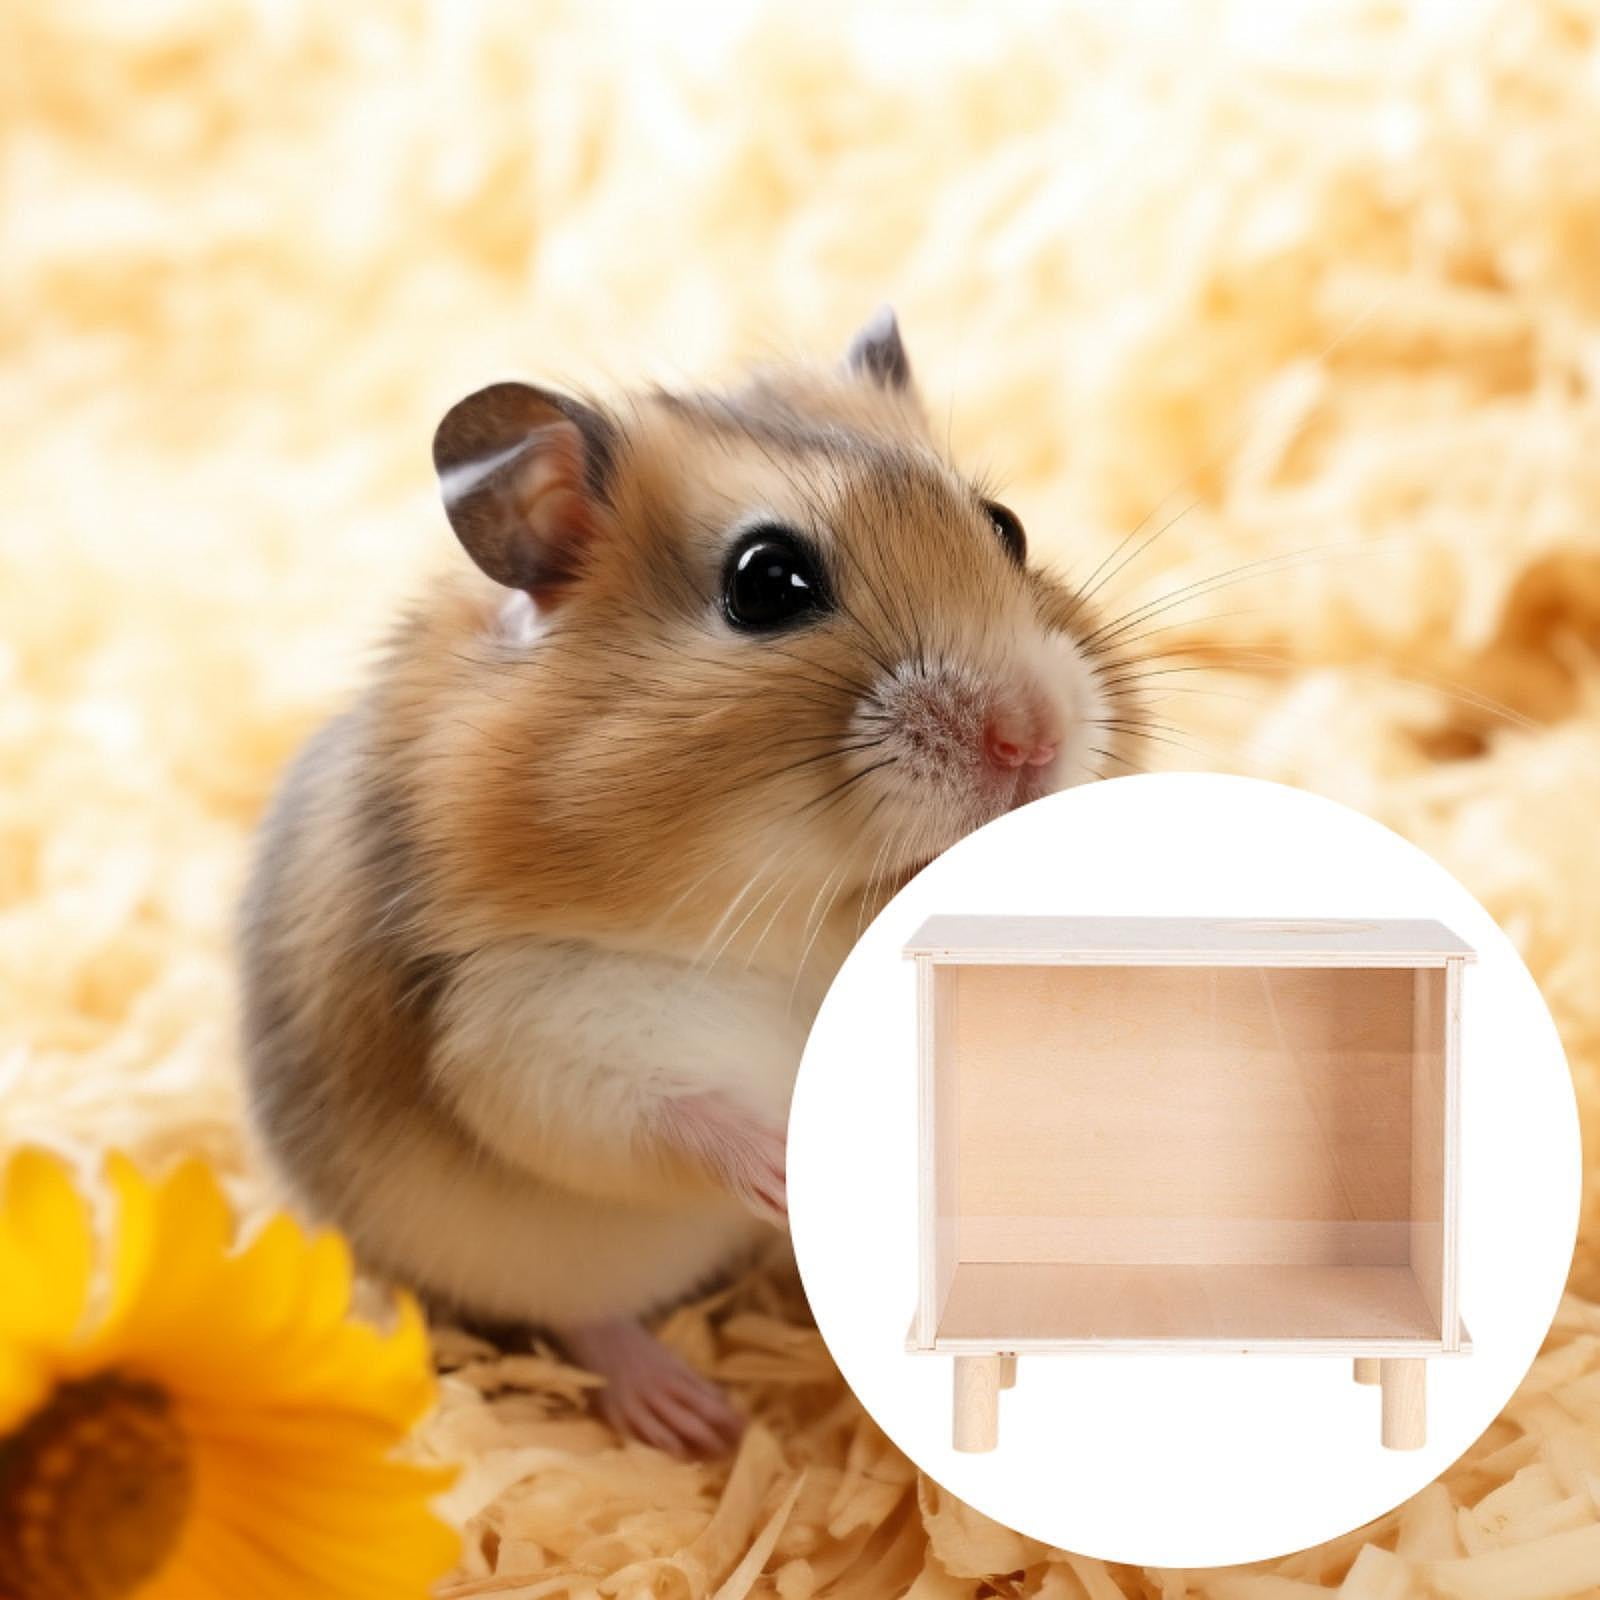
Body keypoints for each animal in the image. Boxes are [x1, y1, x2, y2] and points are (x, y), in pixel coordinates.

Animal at [238, 311, 1132, 1456]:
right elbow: (661, 1113)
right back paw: (688, 1414)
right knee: (584, 1318)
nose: (1035, 738)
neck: (796, 910)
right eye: (766, 582)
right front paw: (789, 1174)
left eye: (1007, 526)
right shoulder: (529, 1024)